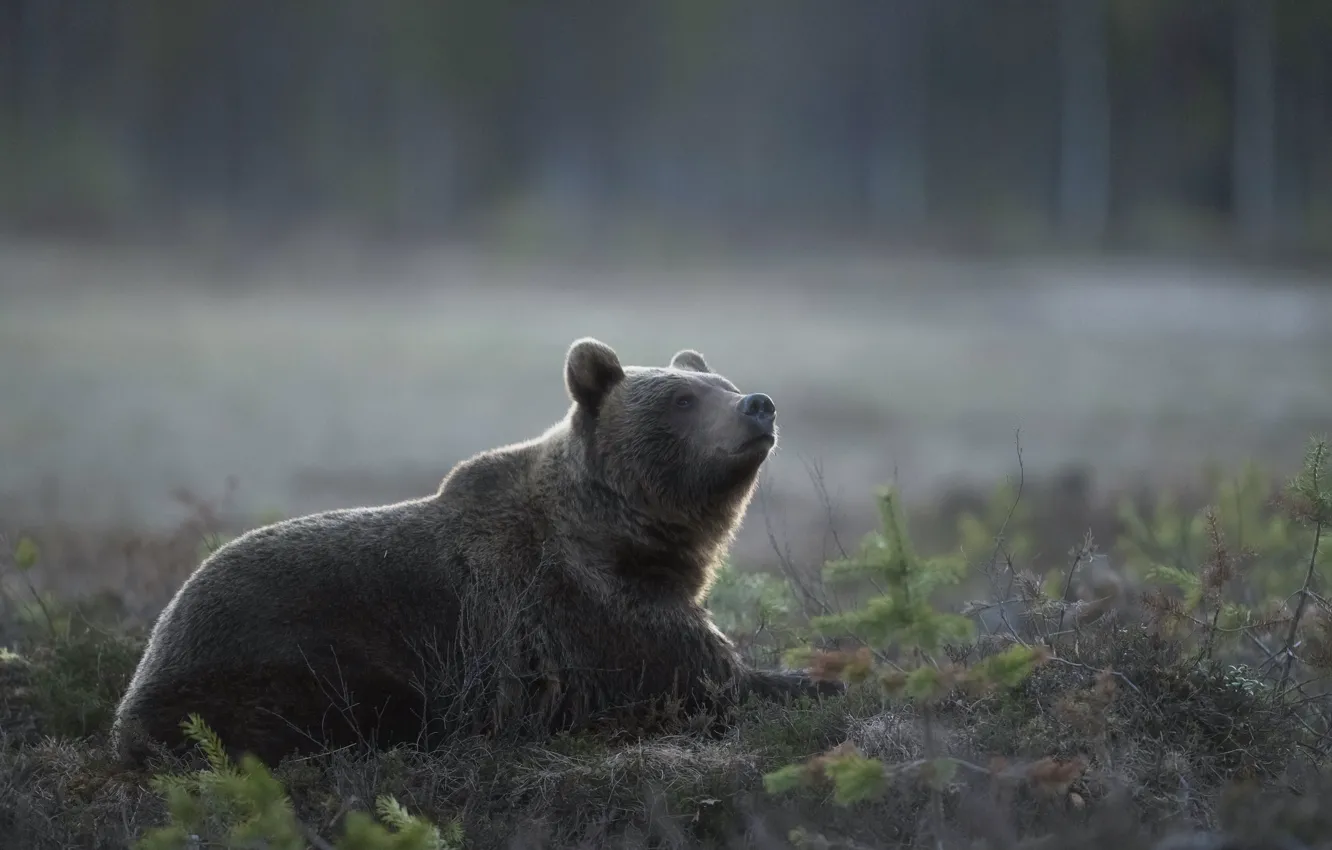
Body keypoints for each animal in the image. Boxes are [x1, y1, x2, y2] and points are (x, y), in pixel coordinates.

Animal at [110, 337, 842, 768]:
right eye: (683, 397)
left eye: (725, 382)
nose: (758, 405)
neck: (631, 536)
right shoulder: (586, 615)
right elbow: (705, 677)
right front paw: (816, 680)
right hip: (285, 662)